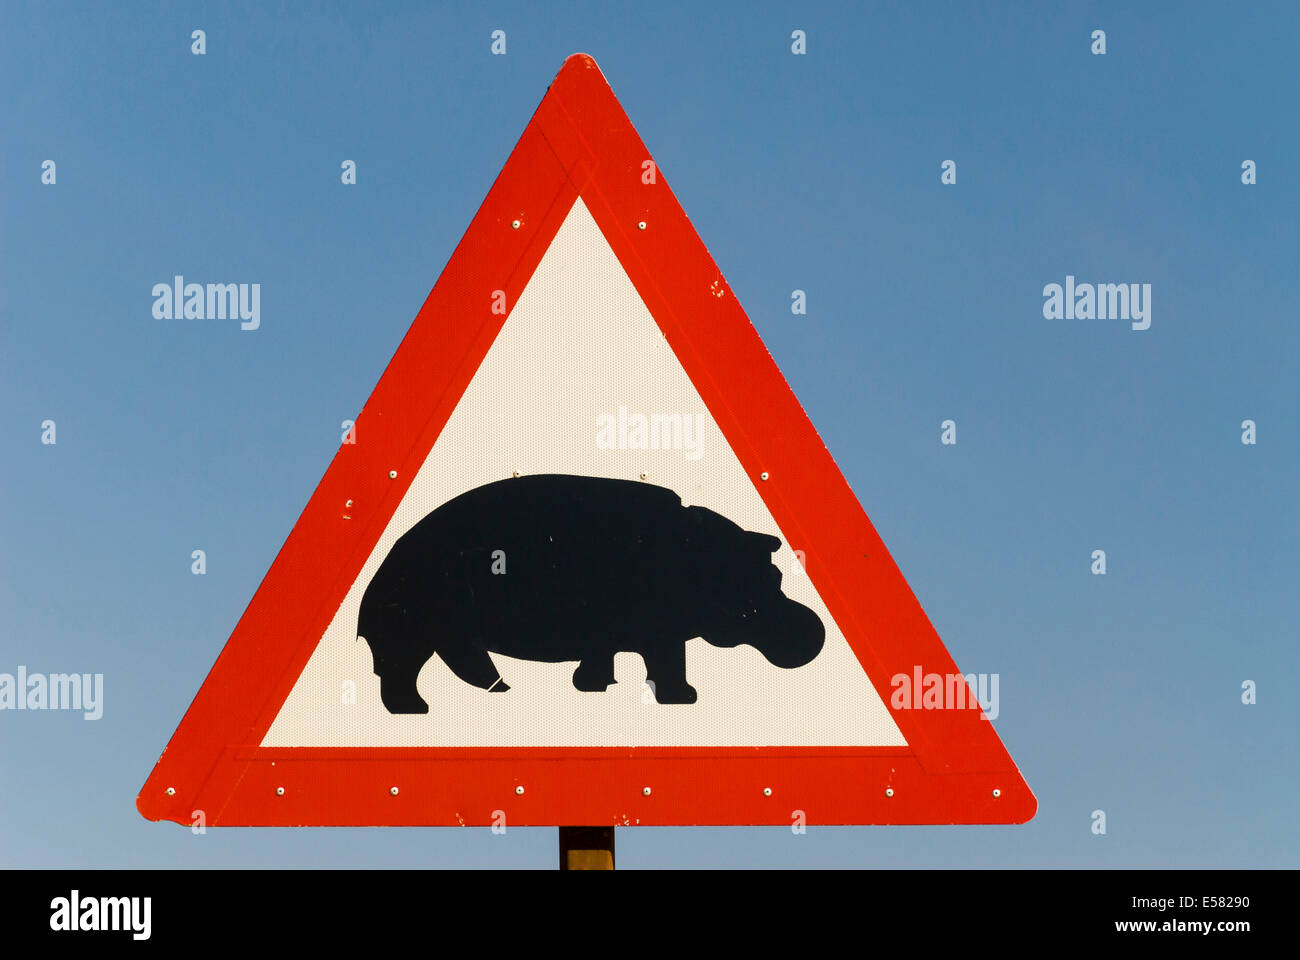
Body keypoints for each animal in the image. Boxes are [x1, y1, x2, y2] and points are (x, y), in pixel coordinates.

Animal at [357, 473, 824, 712]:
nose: (814, 629)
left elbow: (603, 659)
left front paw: (595, 687)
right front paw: (683, 699)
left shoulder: (610, 633)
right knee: (414, 669)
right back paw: (439, 705)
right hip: (420, 627)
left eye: (776, 576)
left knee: (421, 669)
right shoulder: (662, 631)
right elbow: (669, 662)